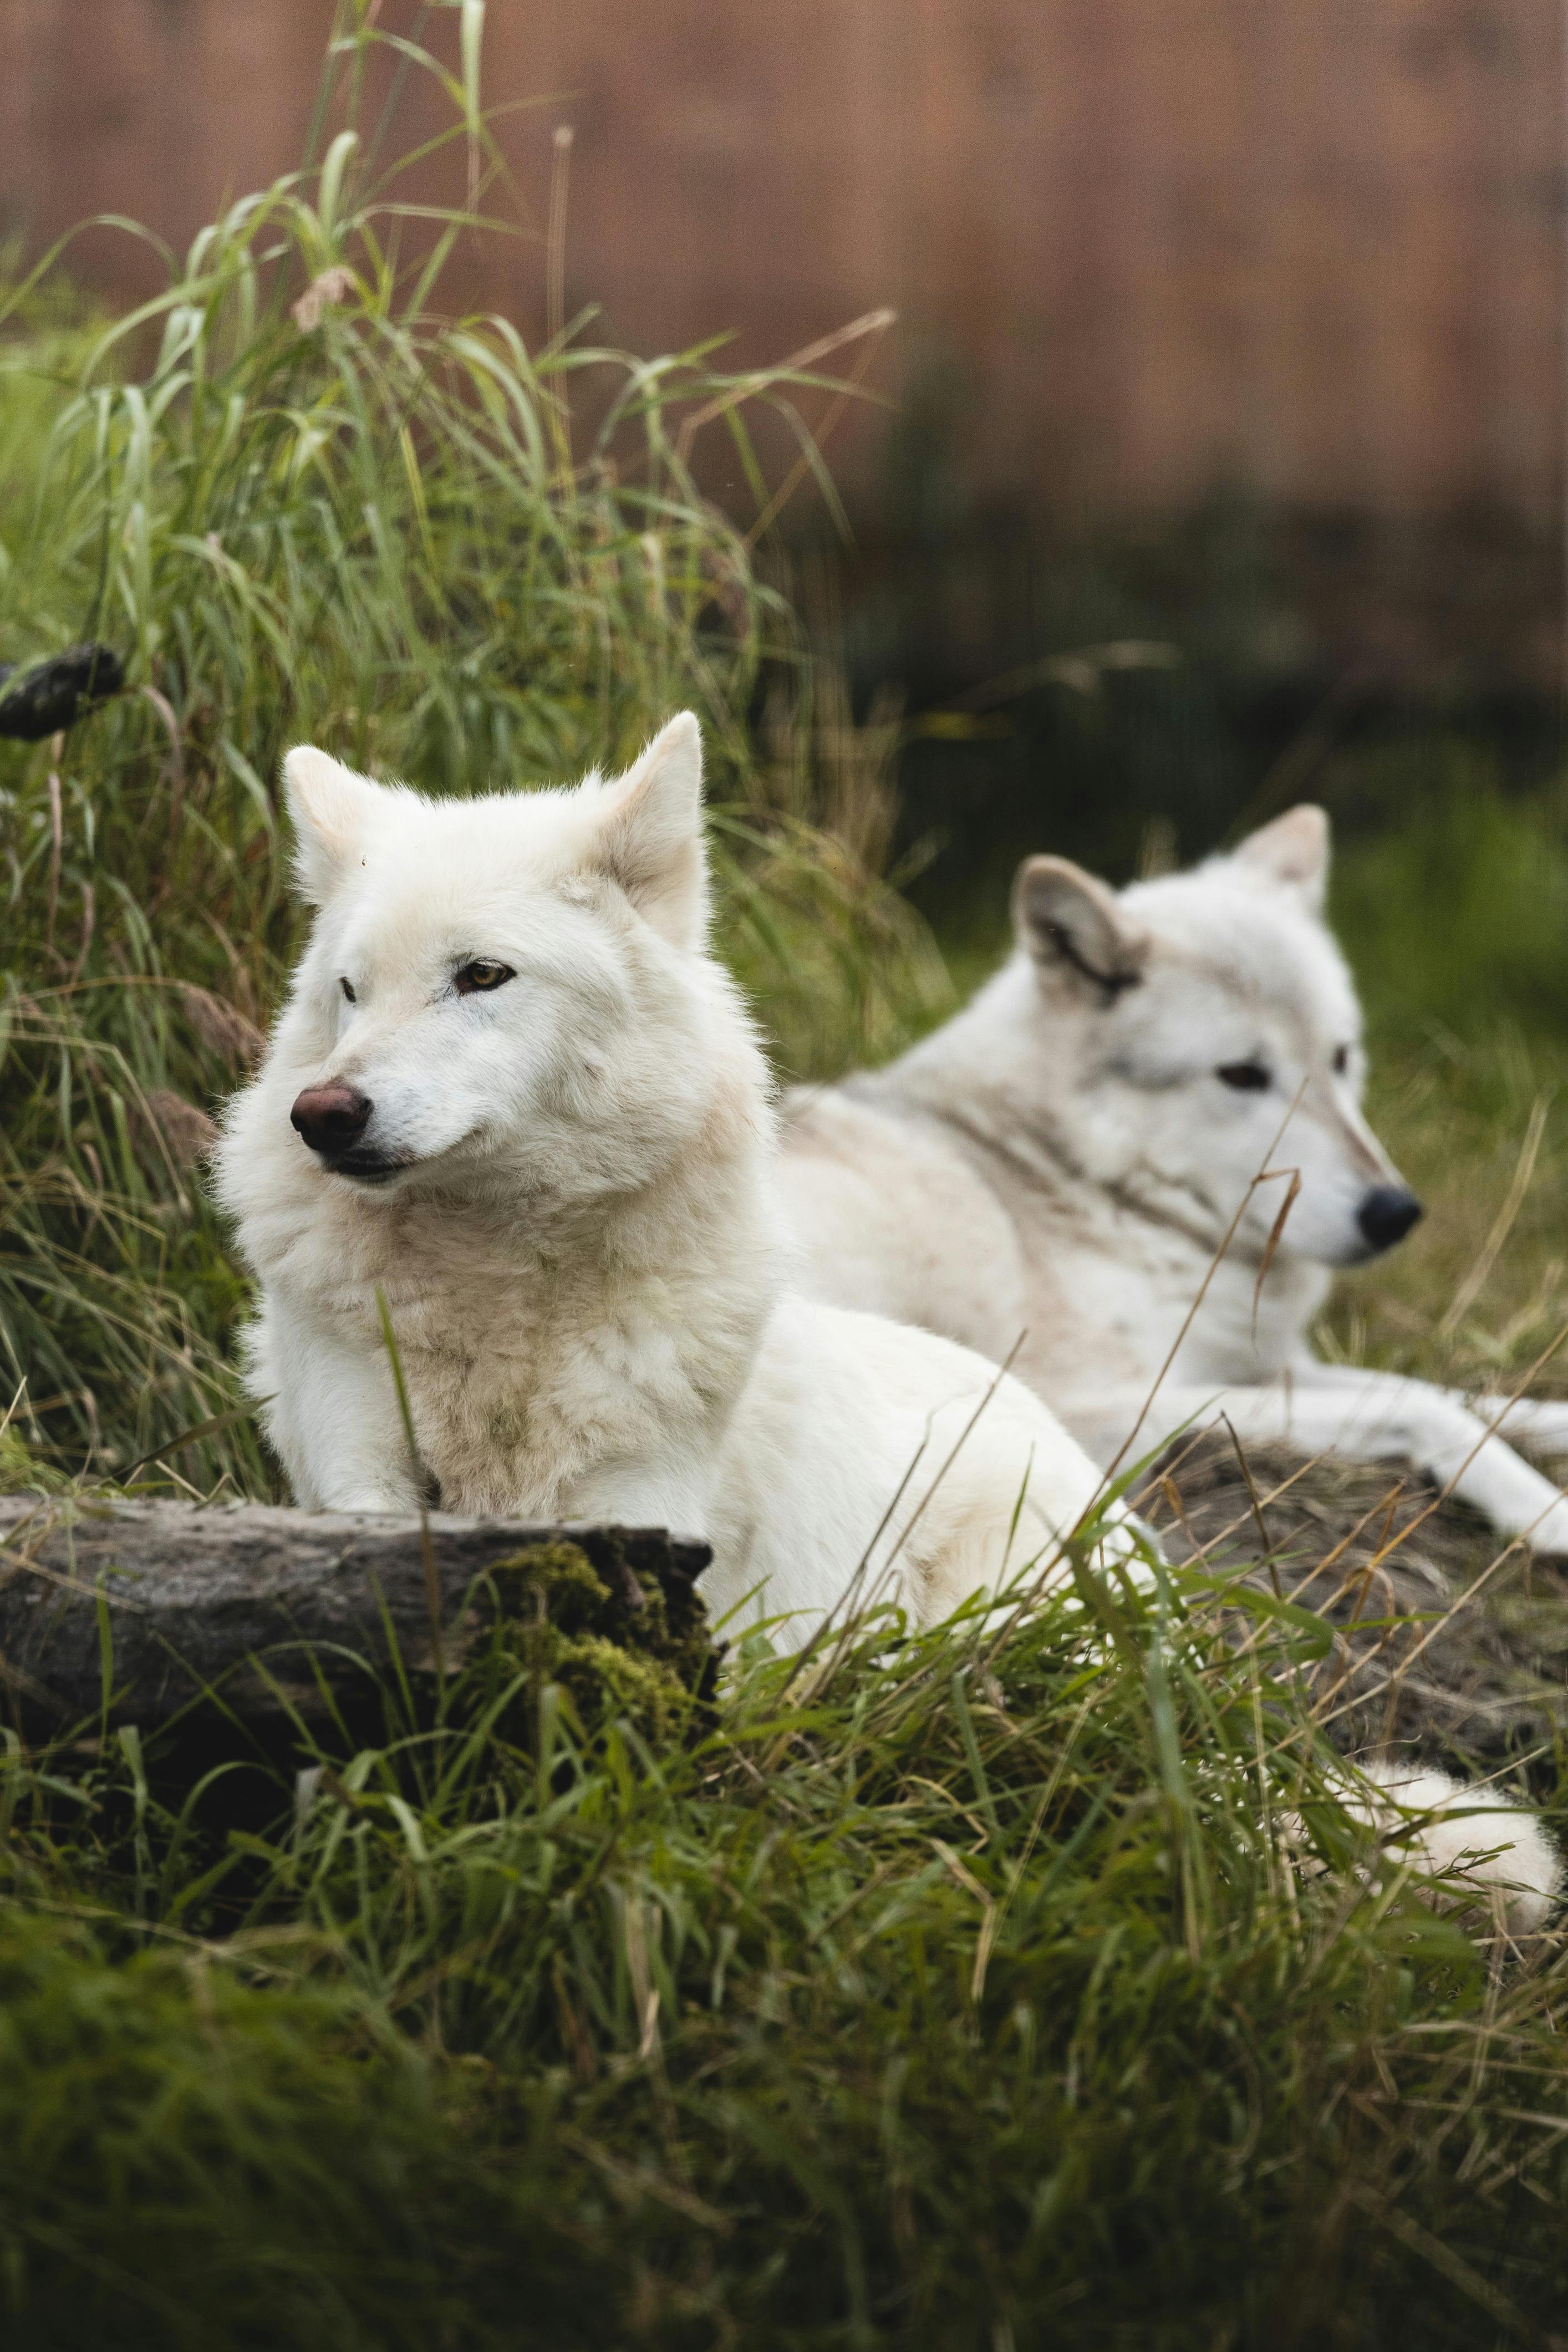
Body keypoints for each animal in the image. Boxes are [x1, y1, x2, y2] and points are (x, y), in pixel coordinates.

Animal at [215, 714, 1138, 1645]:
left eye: (481, 973)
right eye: (351, 989)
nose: (322, 1114)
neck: (496, 1271)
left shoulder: (638, 1505)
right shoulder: (358, 1467)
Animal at [781, 806, 1568, 1555]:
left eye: (1341, 1057)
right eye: (1242, 1075)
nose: (1394, 1213)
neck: (1085, 1180)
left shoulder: (1262, 1363)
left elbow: (1451, 1394)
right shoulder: (1114, 1404)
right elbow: (1422, 1407)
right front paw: (1547, 1512)